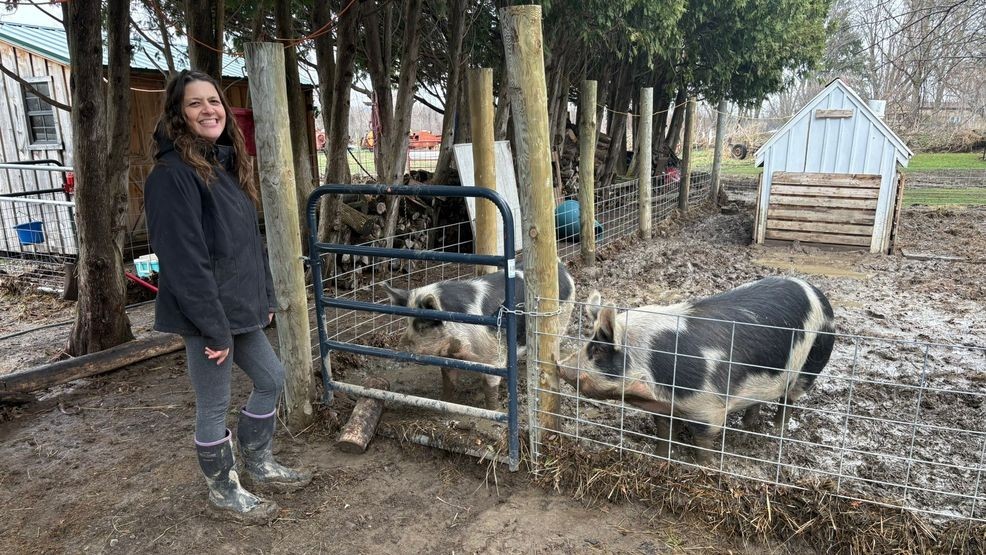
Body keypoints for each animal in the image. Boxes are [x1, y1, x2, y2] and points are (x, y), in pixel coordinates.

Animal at [383, 261, 576, 410]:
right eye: (407, 323)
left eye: (423, 326)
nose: (399, 350)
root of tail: (562, 268)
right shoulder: (449, 357)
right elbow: (448, 381)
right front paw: (445, 402)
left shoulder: (494, 355)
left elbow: (490, 386)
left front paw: (493, 410)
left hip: (561, 319)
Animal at [558, 276, 835, 460]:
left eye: (597, 350)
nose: (560, 365)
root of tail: (815, 290)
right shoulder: (663, 405)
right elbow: (663, 430)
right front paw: (659, 458)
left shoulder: (707, 406)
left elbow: (703, 439)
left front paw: (705, 467)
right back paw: (748, 426)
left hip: (814, 359)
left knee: (789, 399)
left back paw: (776, 429)